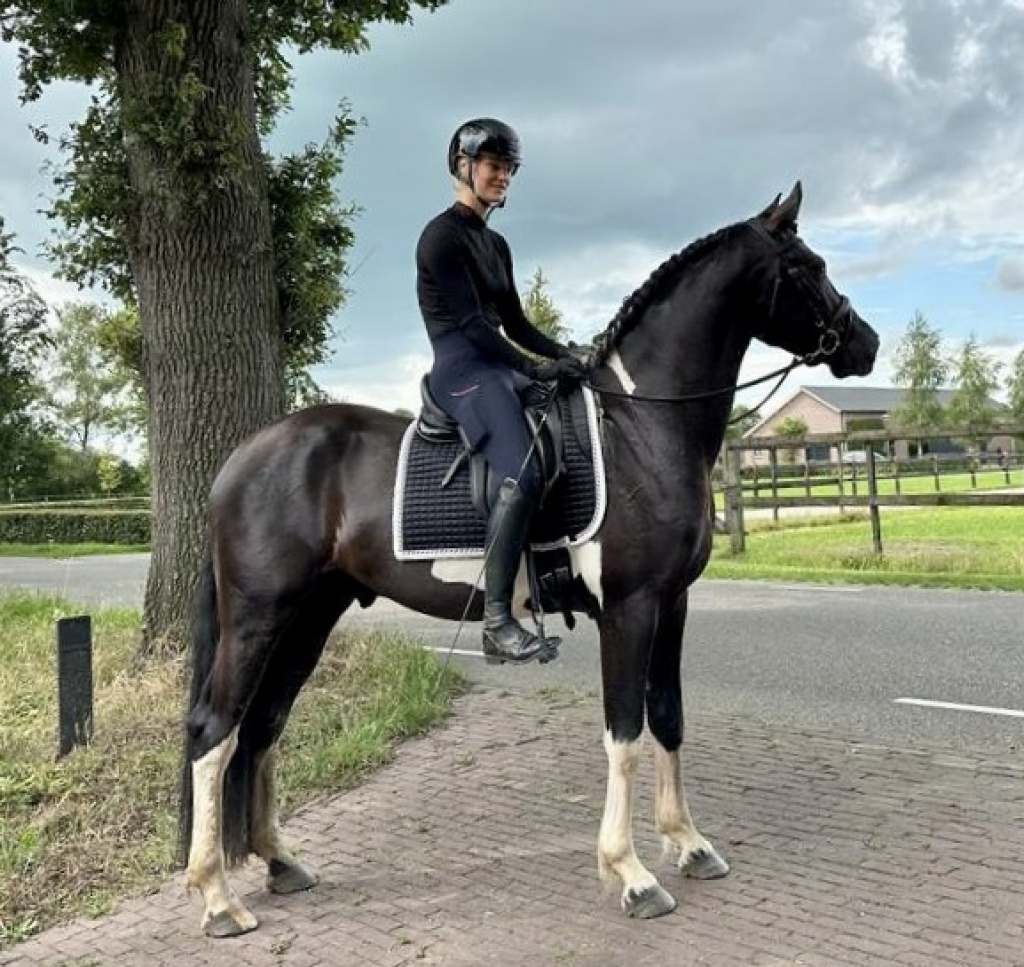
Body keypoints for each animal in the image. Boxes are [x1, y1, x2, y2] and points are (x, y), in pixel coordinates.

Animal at [180, 182, 879, 936]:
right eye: (808, 266)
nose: (865, 342)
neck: (641, 422)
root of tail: (239, 460)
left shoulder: (674, 601)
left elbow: (667, 717)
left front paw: (690, 844)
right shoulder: (629, 608)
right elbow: (624, 734)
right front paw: (632, 875)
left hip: (310, 616)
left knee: (264, 725)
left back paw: (280, 863)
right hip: (258, 616)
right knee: (215, 731)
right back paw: (217, 896)